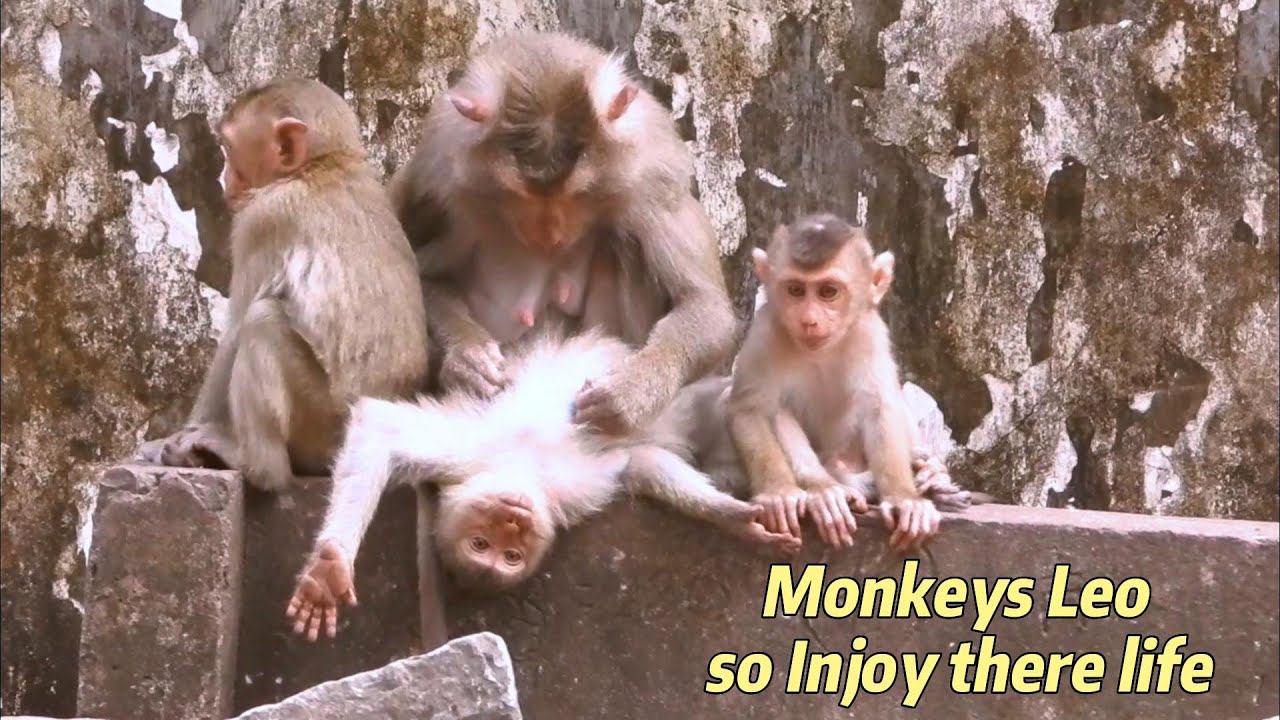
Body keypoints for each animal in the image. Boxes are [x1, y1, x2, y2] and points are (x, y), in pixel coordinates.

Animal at [135, 77, 429, 491]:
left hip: (322, 427)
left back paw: (256, 464)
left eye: (229, 150)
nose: (226, 179)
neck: (322, 165)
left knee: (264, 322)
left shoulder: (262, 219)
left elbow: (234, 333)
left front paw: (177, 438)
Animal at [284, 328, 799, 641]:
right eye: (485, 547)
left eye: (508, 551)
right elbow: (641, 464)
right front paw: (330, 568)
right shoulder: (545, 485)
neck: (524, 469)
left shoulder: (476, 456)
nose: (513, 519)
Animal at [388, 30, 737, 432]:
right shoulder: (440, 184)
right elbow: (421, 279)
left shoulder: (652, 180)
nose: (549, 233)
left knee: (623, 244)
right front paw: (467, 359)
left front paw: (630, 391)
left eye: (577, 194)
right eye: (520, 196)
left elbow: (705, 305)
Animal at [727, 213, 957, 552]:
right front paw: (779, 493)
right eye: (795, 290)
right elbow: (749, 409)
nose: (809, 320)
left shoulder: (870, 331)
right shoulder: (766, 331)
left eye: (828, 292)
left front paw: (904, 498)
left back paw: (928, 472)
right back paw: (825, 490)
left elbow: (879, 406)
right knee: (778, 409)